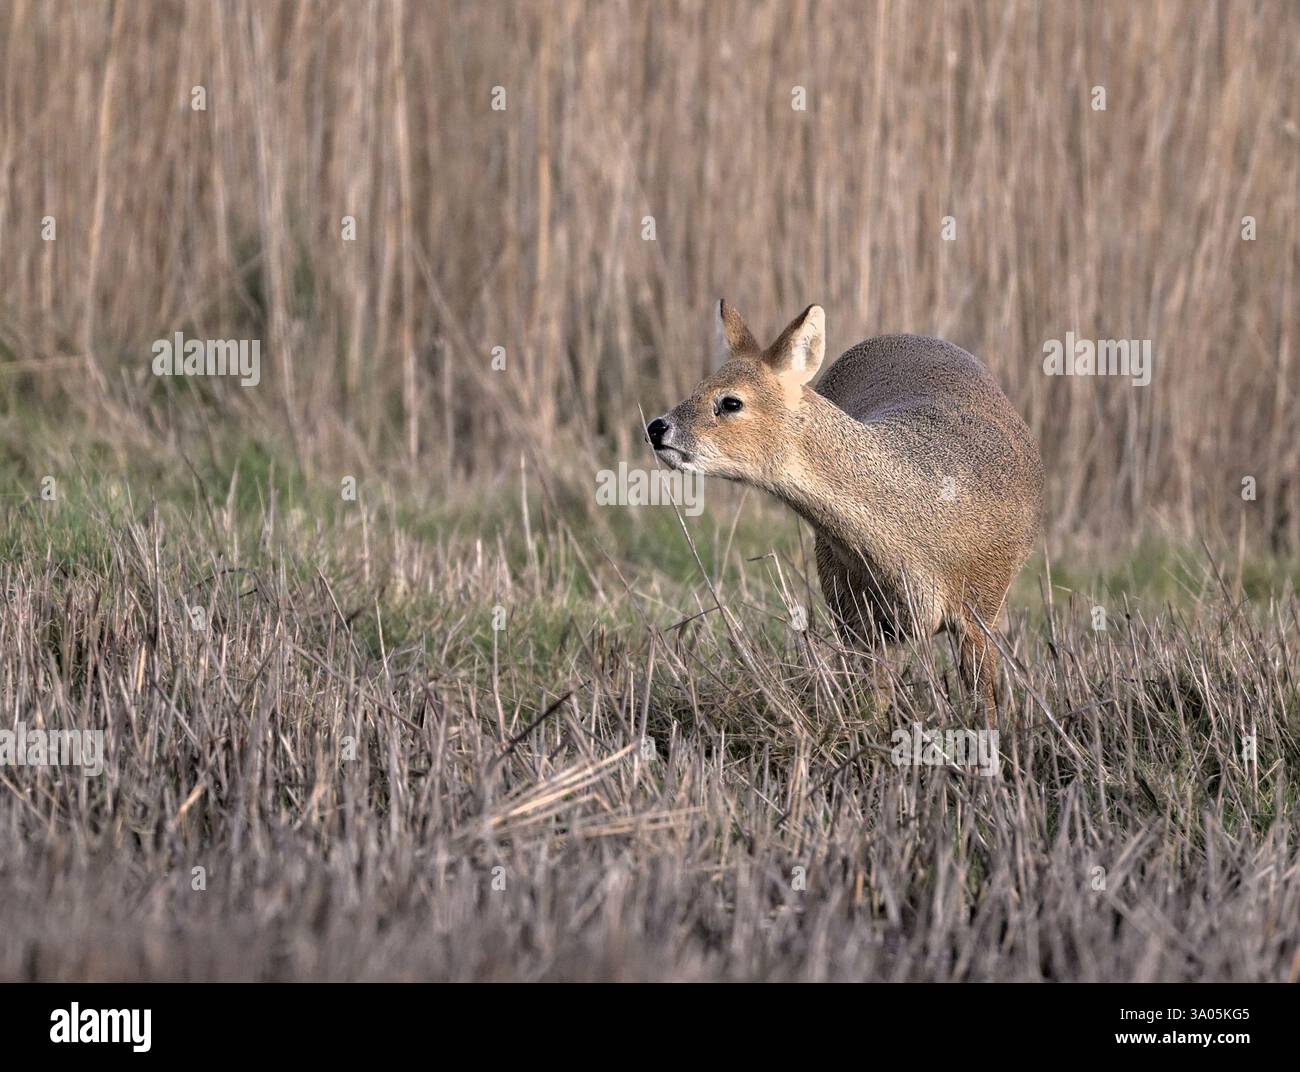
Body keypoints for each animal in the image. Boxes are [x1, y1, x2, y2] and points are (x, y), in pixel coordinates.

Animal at [646, 301, 1043, 720]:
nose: (657, 427)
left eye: (730, 401)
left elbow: (986, 705)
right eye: (697, 386)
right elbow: (872, 702)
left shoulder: (982, 609)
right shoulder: (855, 613)